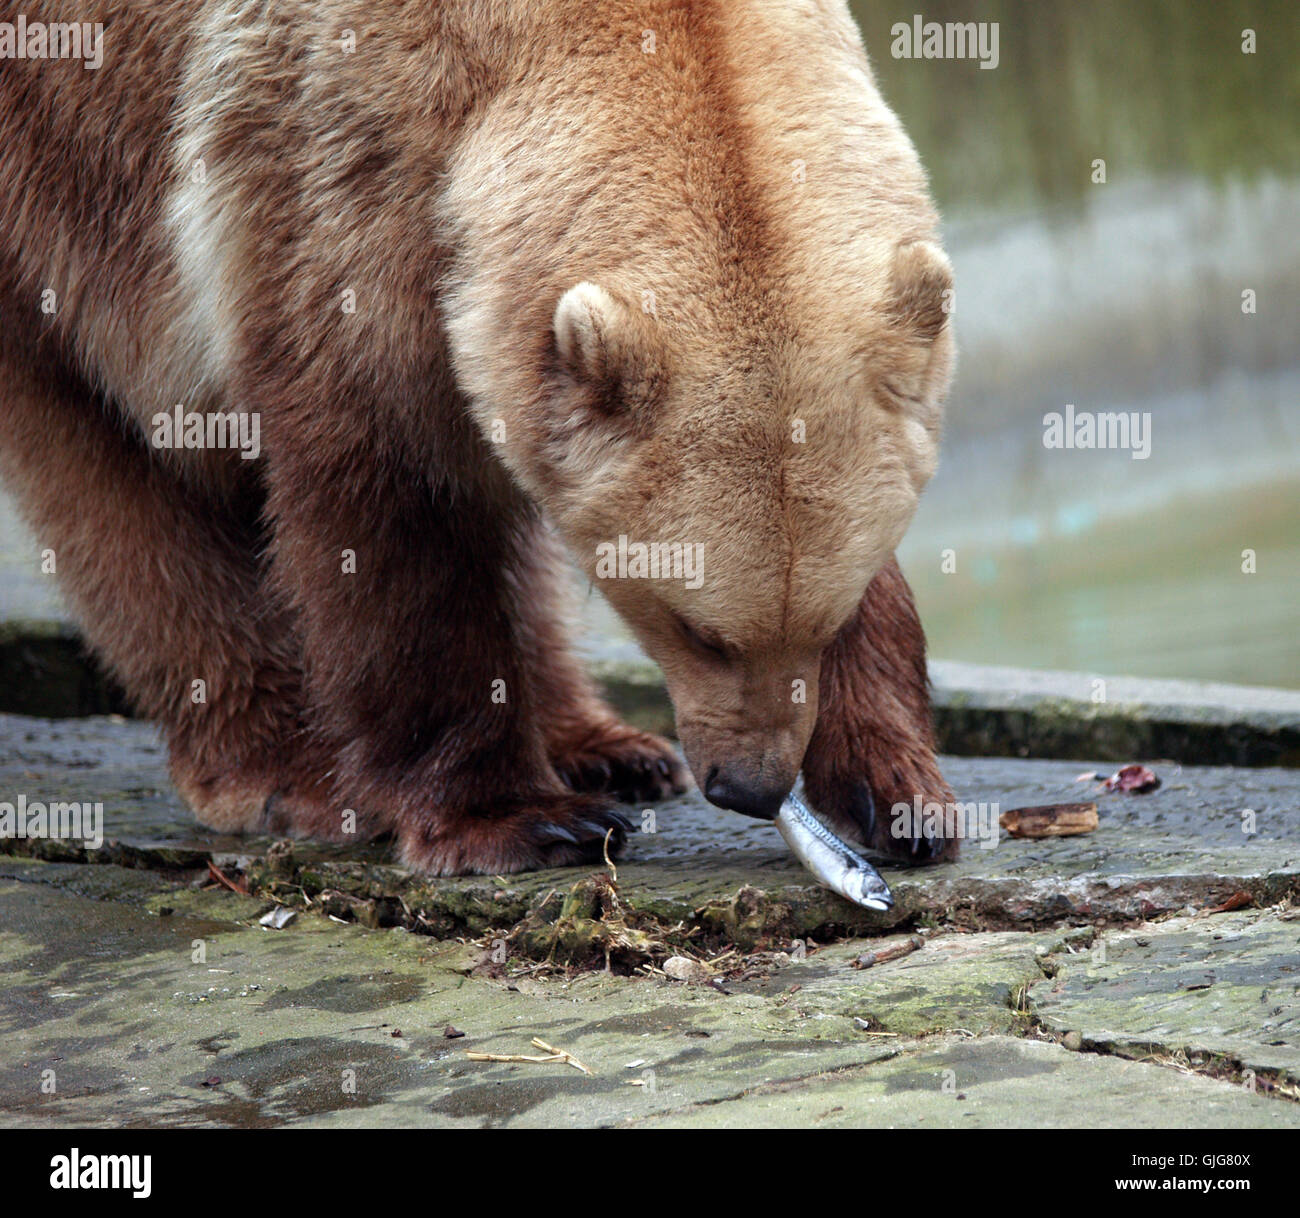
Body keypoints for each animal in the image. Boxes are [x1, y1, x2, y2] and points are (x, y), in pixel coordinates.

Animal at [0, 0, 957, 875]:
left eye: (822, 627)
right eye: (698, 631)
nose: (751, 785)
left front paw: (894, 789)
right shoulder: (332, 176)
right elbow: (393, 502)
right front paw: (513, 819)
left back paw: (606, 746)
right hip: (65, 194)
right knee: (117, 489)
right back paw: (282, 770)